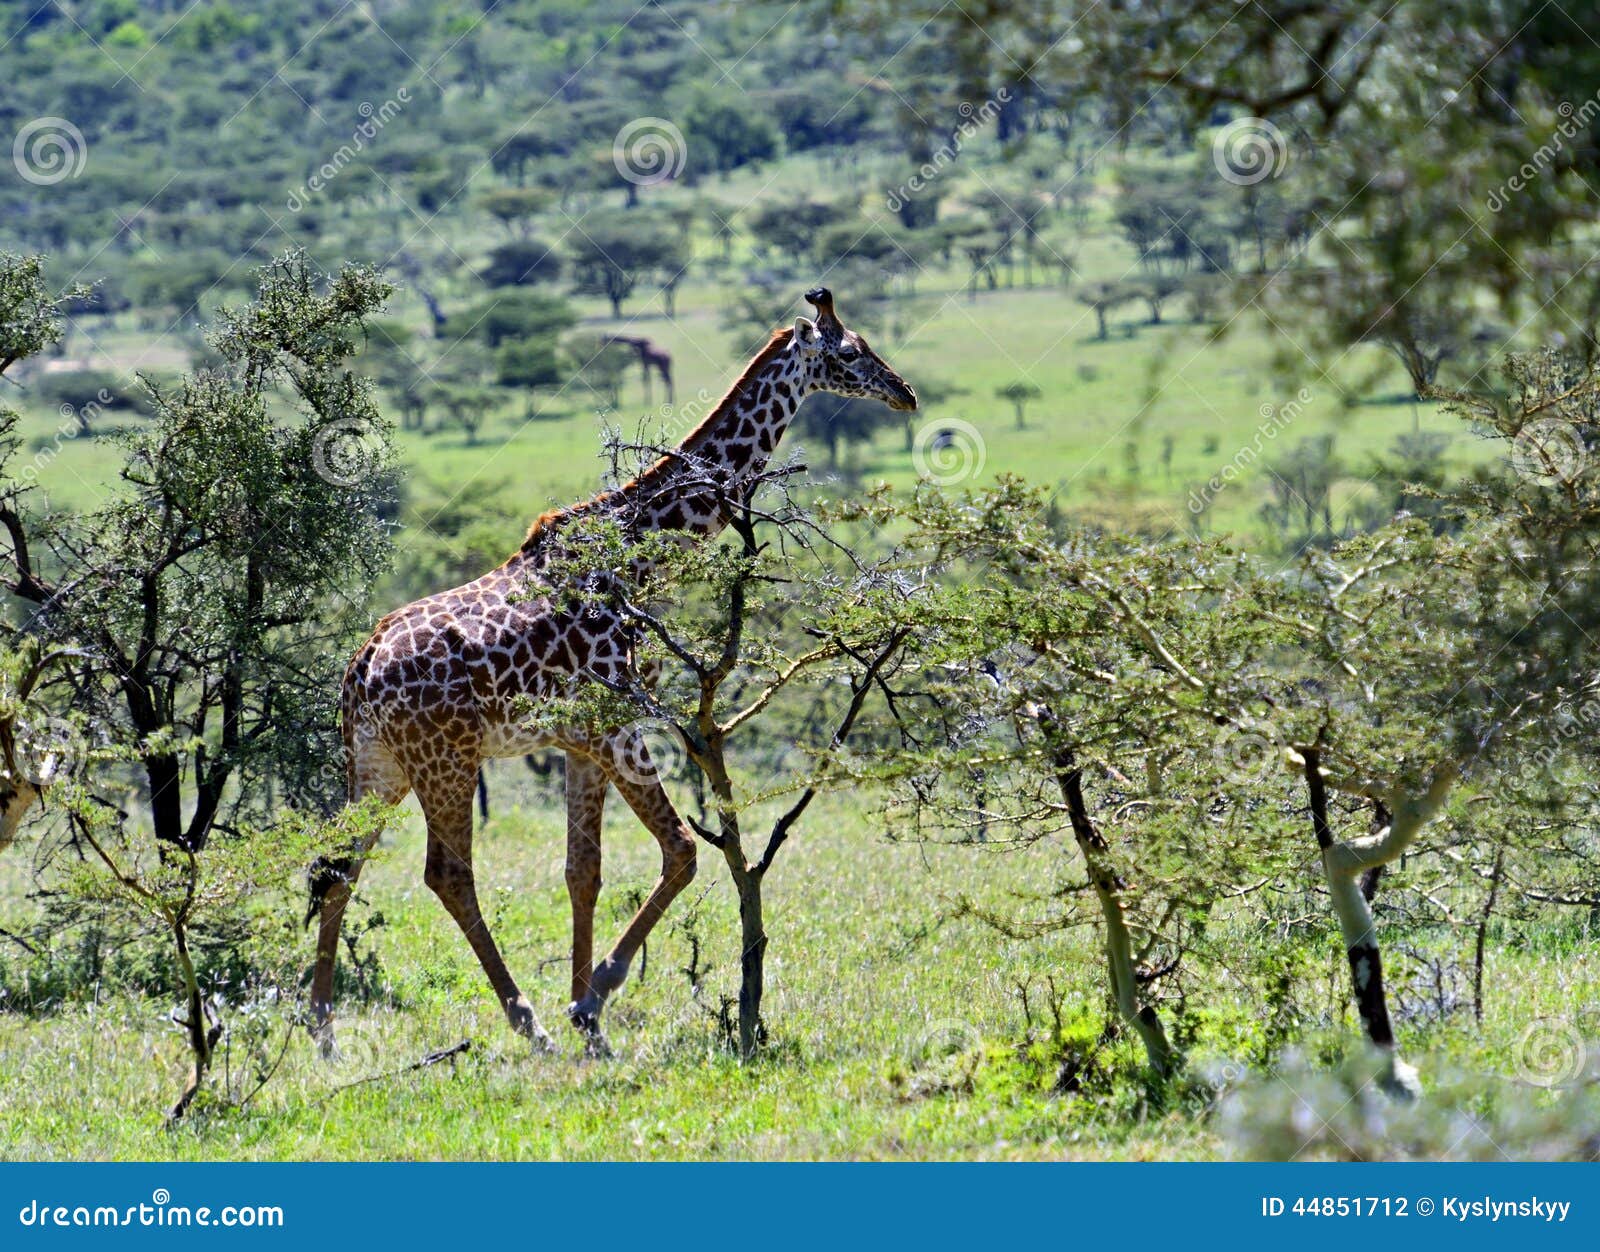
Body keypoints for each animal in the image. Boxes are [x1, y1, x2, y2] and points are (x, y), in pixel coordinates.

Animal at [309, 288, 917, 1052]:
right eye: (851, 353)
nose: (905, 393)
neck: (638, 554)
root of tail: (360, 671)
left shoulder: (579, 739)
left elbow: (583, 871)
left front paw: (588, 1022)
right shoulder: (617, 725)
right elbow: (682, 851)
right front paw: (592, 998)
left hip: (378, 764)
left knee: (337, 868)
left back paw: (322, 1034)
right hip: (445, 759)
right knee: (446, 874)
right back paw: (526, 1022)